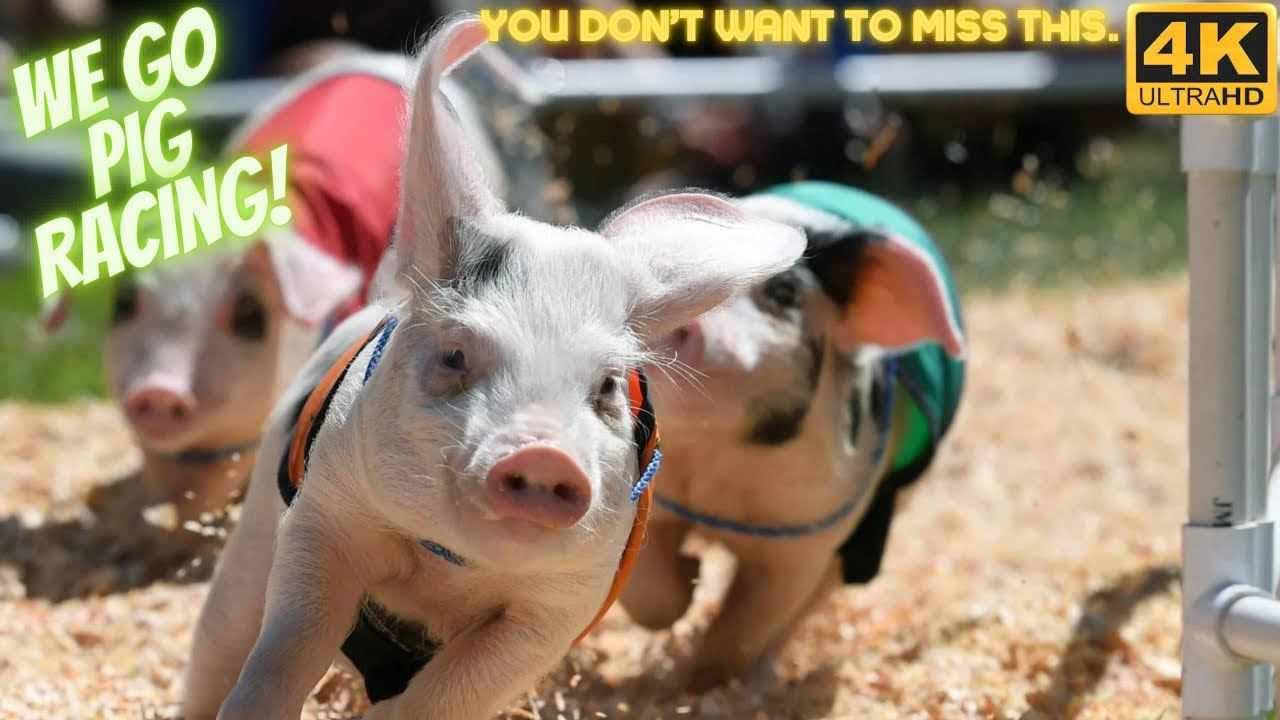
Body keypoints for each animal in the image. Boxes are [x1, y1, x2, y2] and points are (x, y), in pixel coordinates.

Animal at [178, 15, 807, 720]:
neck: (453, 571)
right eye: (455, 354)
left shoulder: (563, 604)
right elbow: (290, 644)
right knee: (225, 630)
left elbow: (454, 691)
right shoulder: (327, 511)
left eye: (605, 386)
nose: (546, 456)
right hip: (257, 523)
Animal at [618, 180, 968, 691]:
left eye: (784, 292)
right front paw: (690, 575)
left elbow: (746, 626)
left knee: (807, 608)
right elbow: (649, 594)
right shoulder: (656, 497)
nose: (679, 319)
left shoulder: (806, 538)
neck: (716, 468)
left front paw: (699, 684)